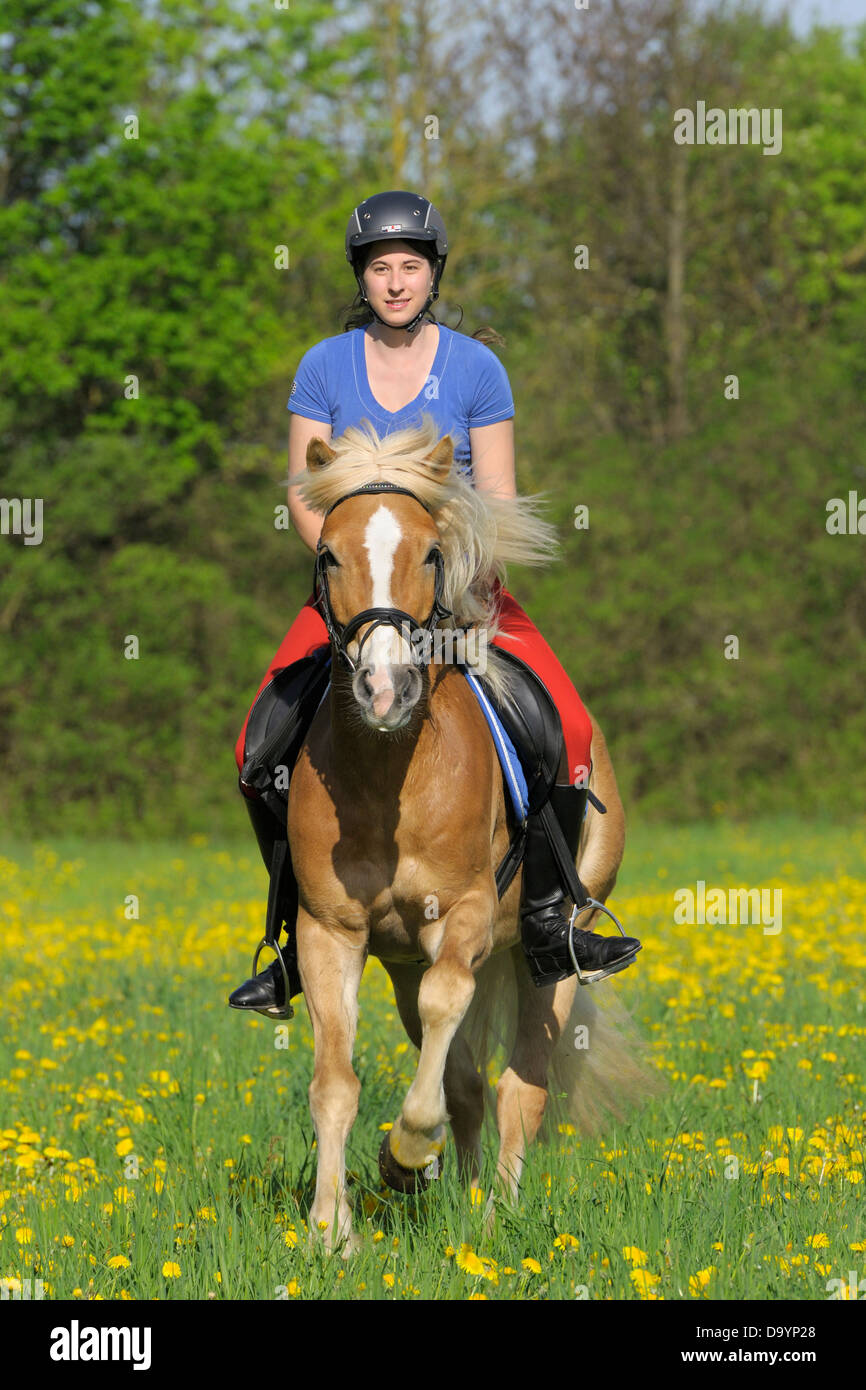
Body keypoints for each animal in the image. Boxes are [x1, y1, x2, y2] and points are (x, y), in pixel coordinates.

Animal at [285, 414, 653, 1252]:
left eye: (430, 553)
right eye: (328, 554)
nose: (383, 690)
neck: (389, 773)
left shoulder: (466, 917)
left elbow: (451, 1014)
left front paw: (407, 1150)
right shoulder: (330, 932)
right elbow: (336, 1081)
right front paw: (331, 1227)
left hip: (545, 956)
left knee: (524, 1083)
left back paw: (500, 1212)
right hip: (401, 964)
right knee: (466, 1079)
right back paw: (466, 1193)